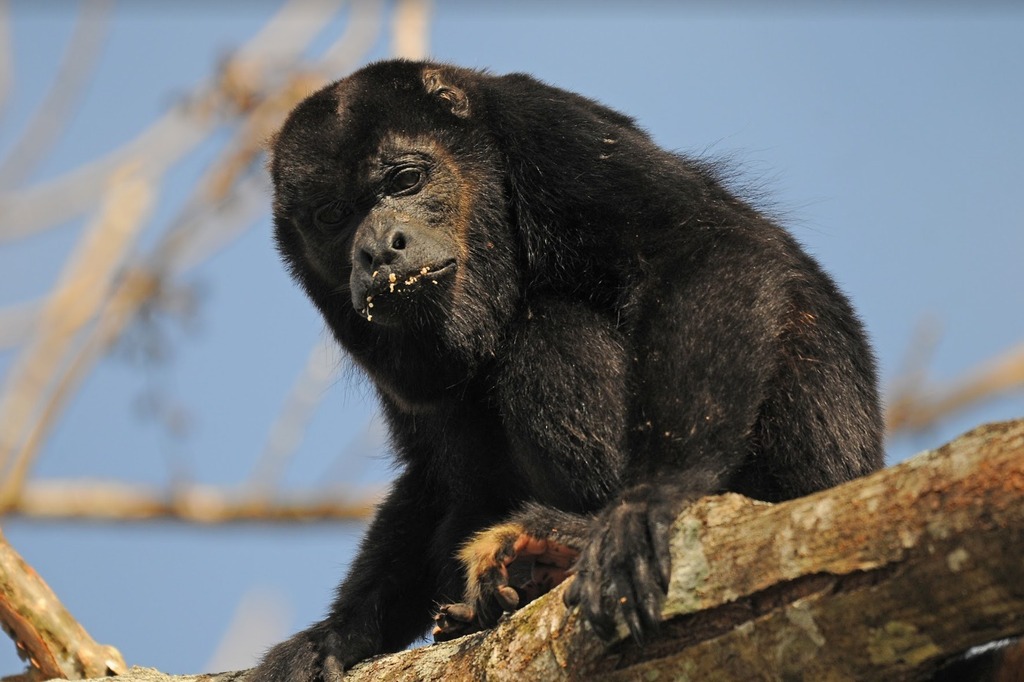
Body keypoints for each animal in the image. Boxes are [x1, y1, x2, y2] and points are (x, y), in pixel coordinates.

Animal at [253, 59, 884, 680]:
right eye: (333, 216)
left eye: (404, 180)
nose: (379, 248)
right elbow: (430, 476)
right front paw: (334, 637)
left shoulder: (552, 133)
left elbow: (703, 251)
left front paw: (654, 498)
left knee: (548, 332)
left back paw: (566, 543)